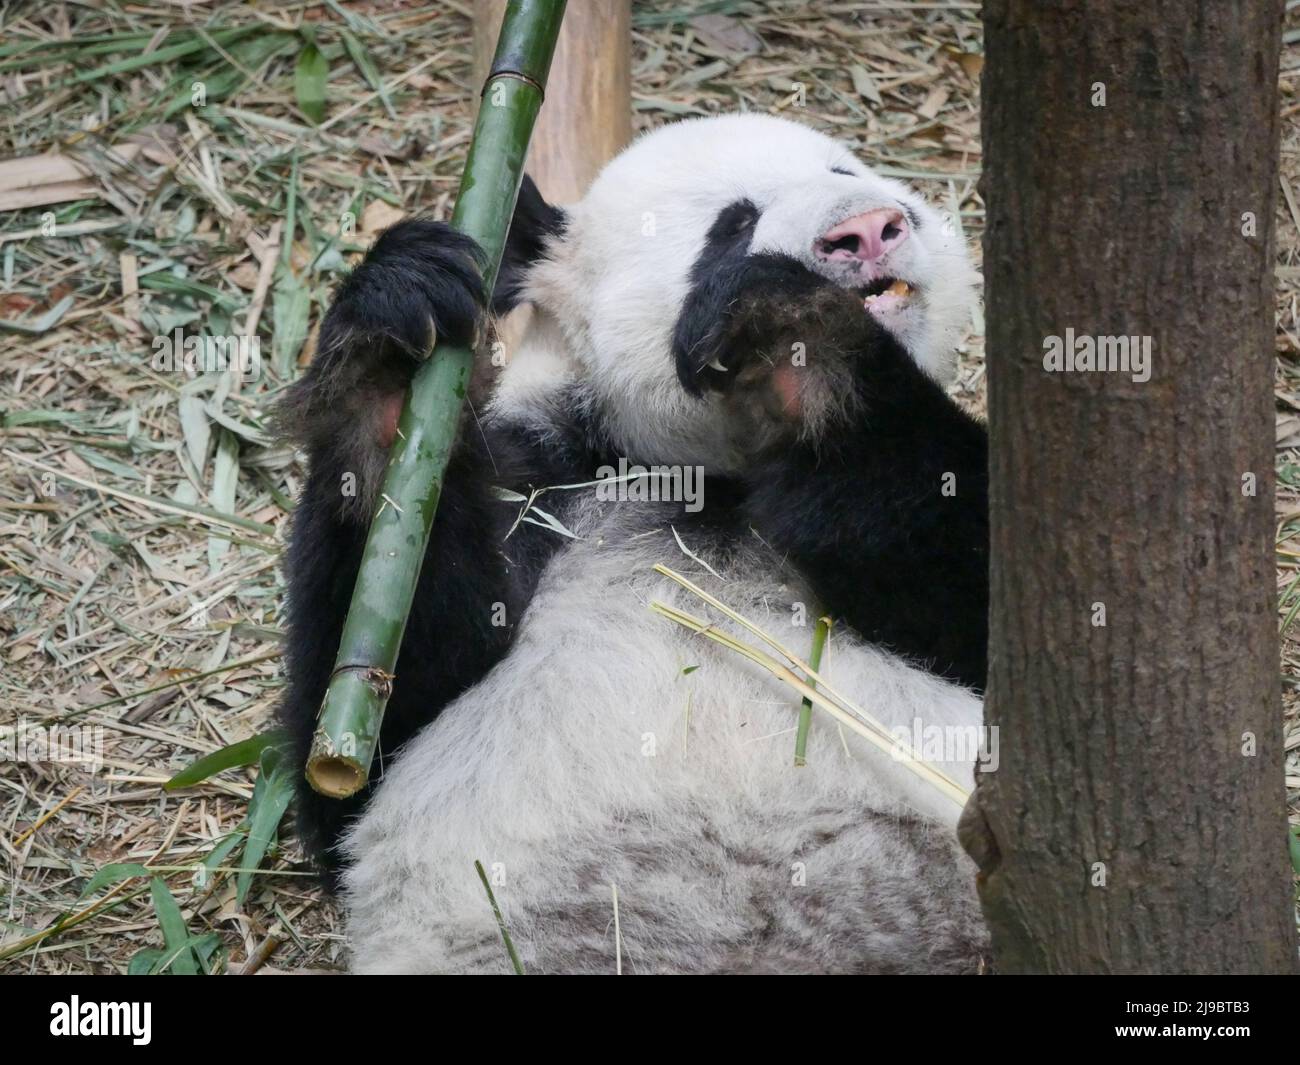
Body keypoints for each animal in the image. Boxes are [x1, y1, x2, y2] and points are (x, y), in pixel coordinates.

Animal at [278, 113, 990, 974]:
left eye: (845, 171)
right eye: (732, 224)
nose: (868, 227)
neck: (703, 476)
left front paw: (806, 338)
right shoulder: (549, 481)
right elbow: (369, 734)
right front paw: (391, 350)